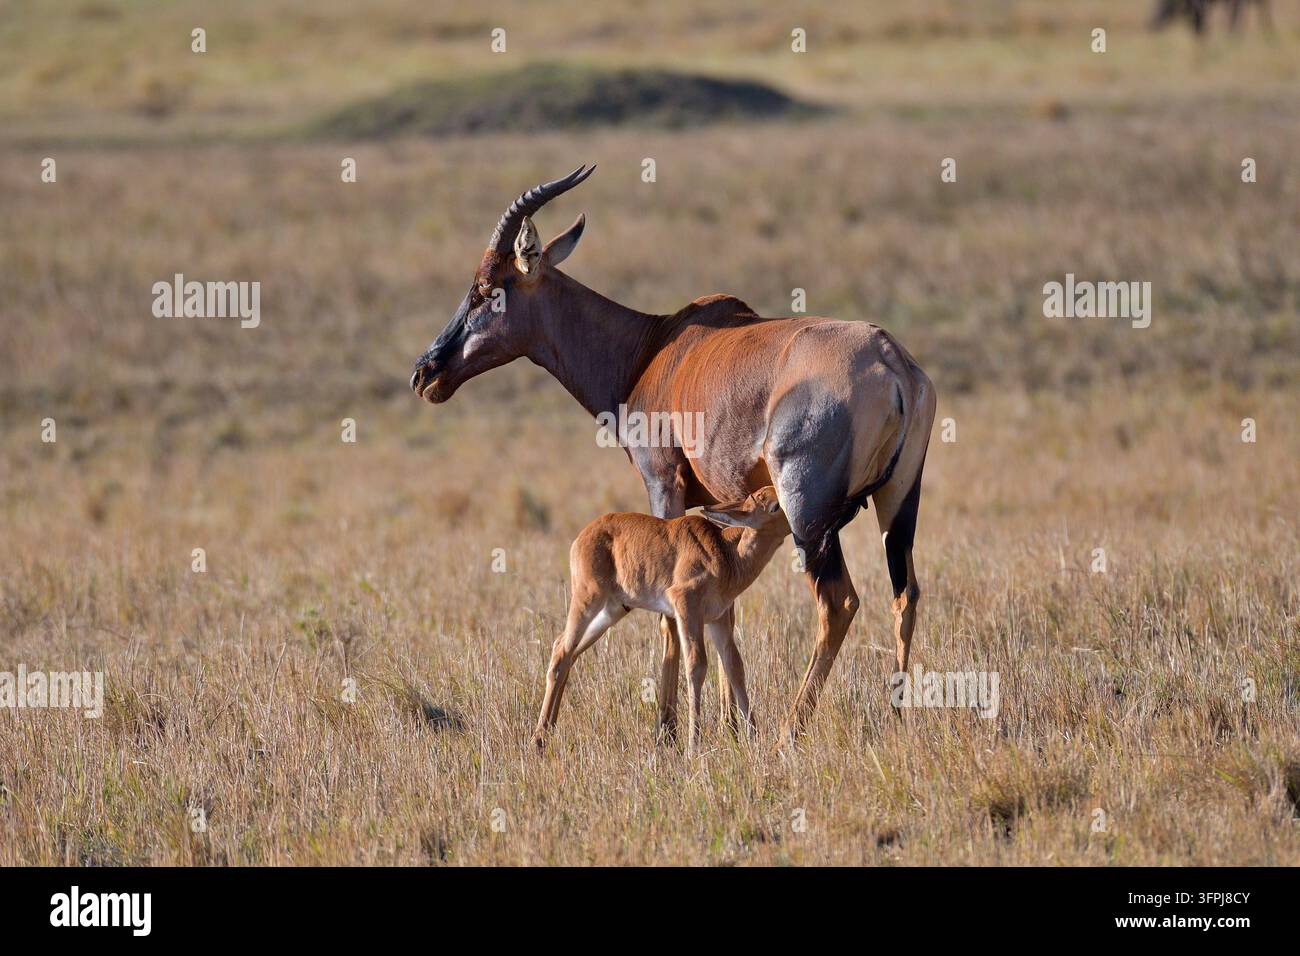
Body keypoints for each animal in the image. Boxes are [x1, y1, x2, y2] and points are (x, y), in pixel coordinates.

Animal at [532, 486, 790, 753]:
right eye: (774, 506)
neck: (725, 549)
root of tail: (582, 536)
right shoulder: (686, 607)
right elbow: (696, 666)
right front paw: (693, 745)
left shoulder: (717, 620)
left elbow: (734, 667)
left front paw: (754, 738)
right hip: (587, 598)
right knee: (562, 650)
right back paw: (538, 739)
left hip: (612, 610)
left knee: (566, 650)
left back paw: (546, 734)